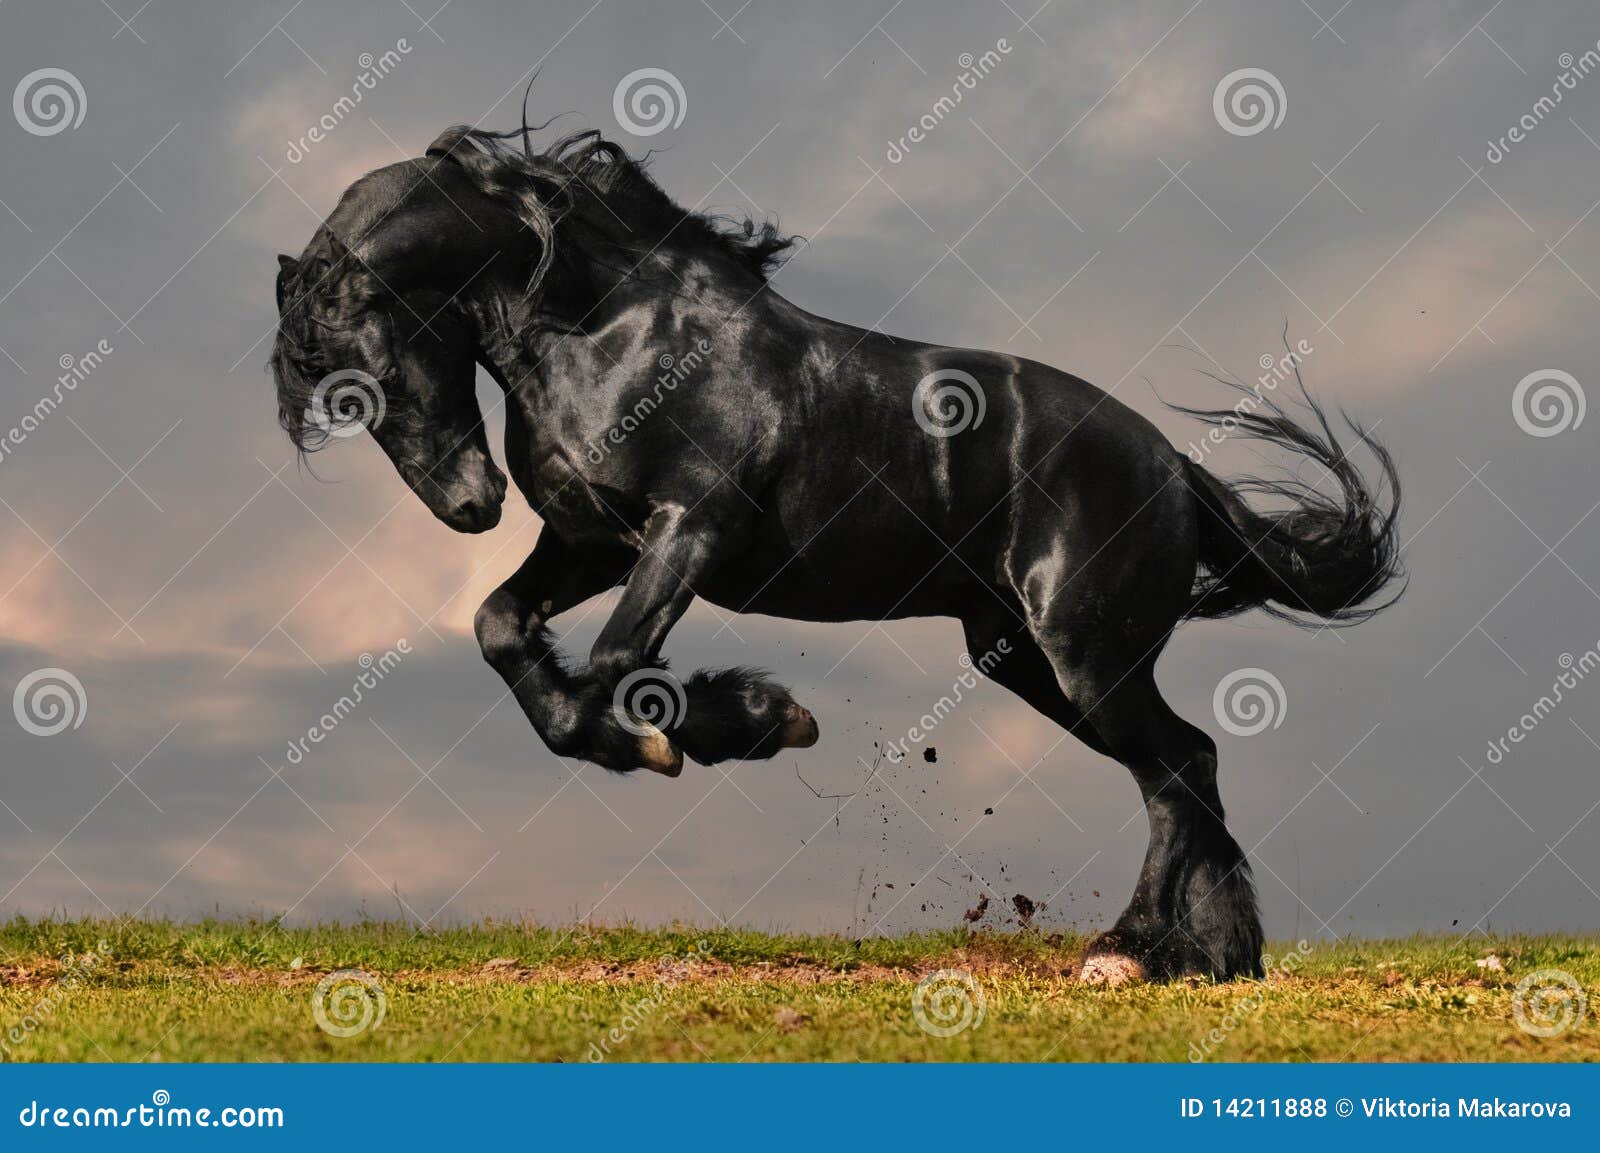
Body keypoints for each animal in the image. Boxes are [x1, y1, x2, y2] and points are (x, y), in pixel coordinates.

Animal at [269, 122, 1402, 984]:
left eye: (373, 370)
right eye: (335, 397)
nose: (469, 506)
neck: (613, 332)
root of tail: (1170, 464)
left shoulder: (690, 530)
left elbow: (615, 664)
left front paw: (743, 722)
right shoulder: (592, 541)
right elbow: (505, 630)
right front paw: (687, 732)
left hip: (1087, 654)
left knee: (1177, 769)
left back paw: (1130, 952)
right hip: (1027, 660)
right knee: (1188, 766)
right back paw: (1210, 956)